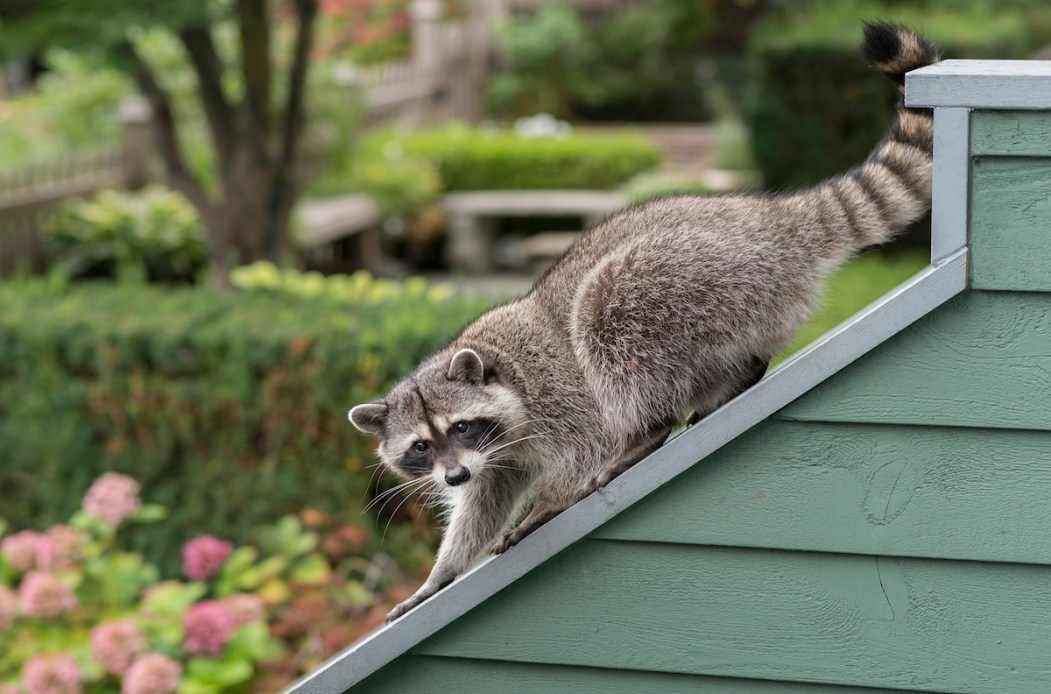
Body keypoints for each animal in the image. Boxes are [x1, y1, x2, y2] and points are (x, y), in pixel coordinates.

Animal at [350, 22, 939, 621]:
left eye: (460, 427)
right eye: (420, 447)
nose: (453, 474)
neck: (499, 377)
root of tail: (772, 223)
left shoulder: (552, 394)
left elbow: (586, 442)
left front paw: (550, 503)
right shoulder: (496, 459)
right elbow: (483, 503)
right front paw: (440, 574)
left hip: (687, 277)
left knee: (608, 321)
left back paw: (647, 430)